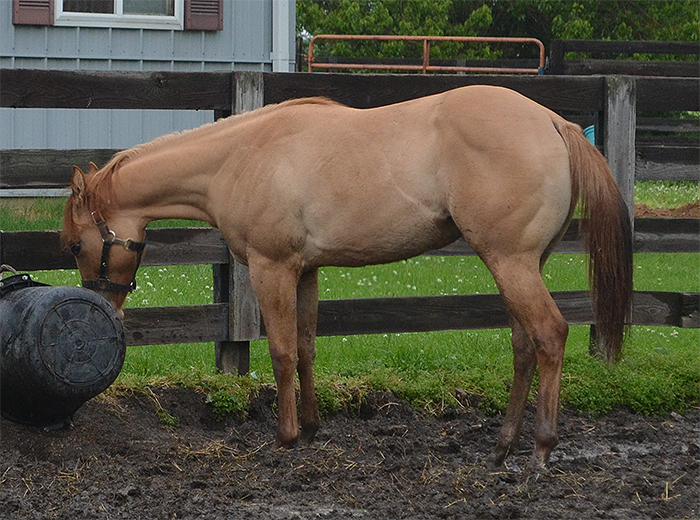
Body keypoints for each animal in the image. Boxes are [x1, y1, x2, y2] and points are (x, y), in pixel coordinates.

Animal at [62, 85, 633, 468]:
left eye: (74, 245)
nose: (103, 307)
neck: (239, 157)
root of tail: (552, 122)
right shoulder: (306, 271)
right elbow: (307, 348)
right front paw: (313, 429)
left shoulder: (272, 268)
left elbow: (282, 352)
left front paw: (286, 437)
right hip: (520, 264)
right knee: (523, 346)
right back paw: (502, 446)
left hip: (510, 262)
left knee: (550, 335)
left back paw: (540, 447)